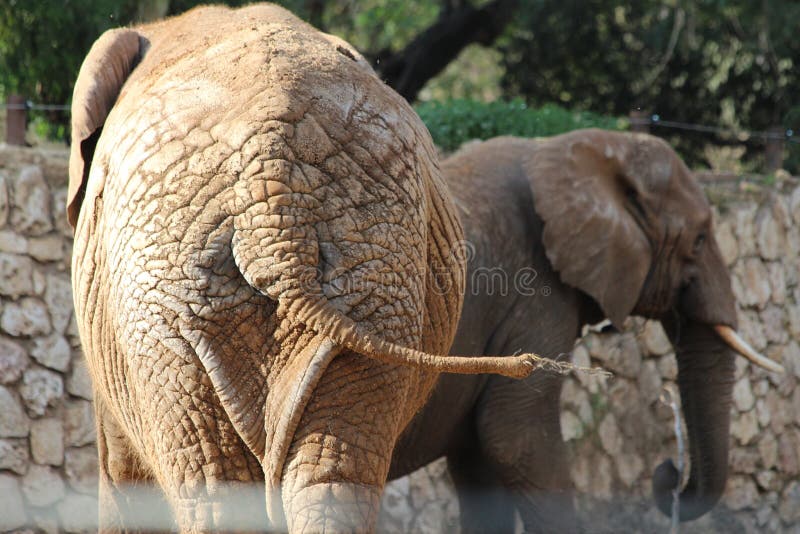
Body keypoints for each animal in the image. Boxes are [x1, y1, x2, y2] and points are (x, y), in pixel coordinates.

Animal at [67, 4, 543, 532]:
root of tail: (272, 184)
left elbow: (121, 470)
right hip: (370, 272)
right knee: (326, 480)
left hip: (174, 296)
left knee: (219, 484)